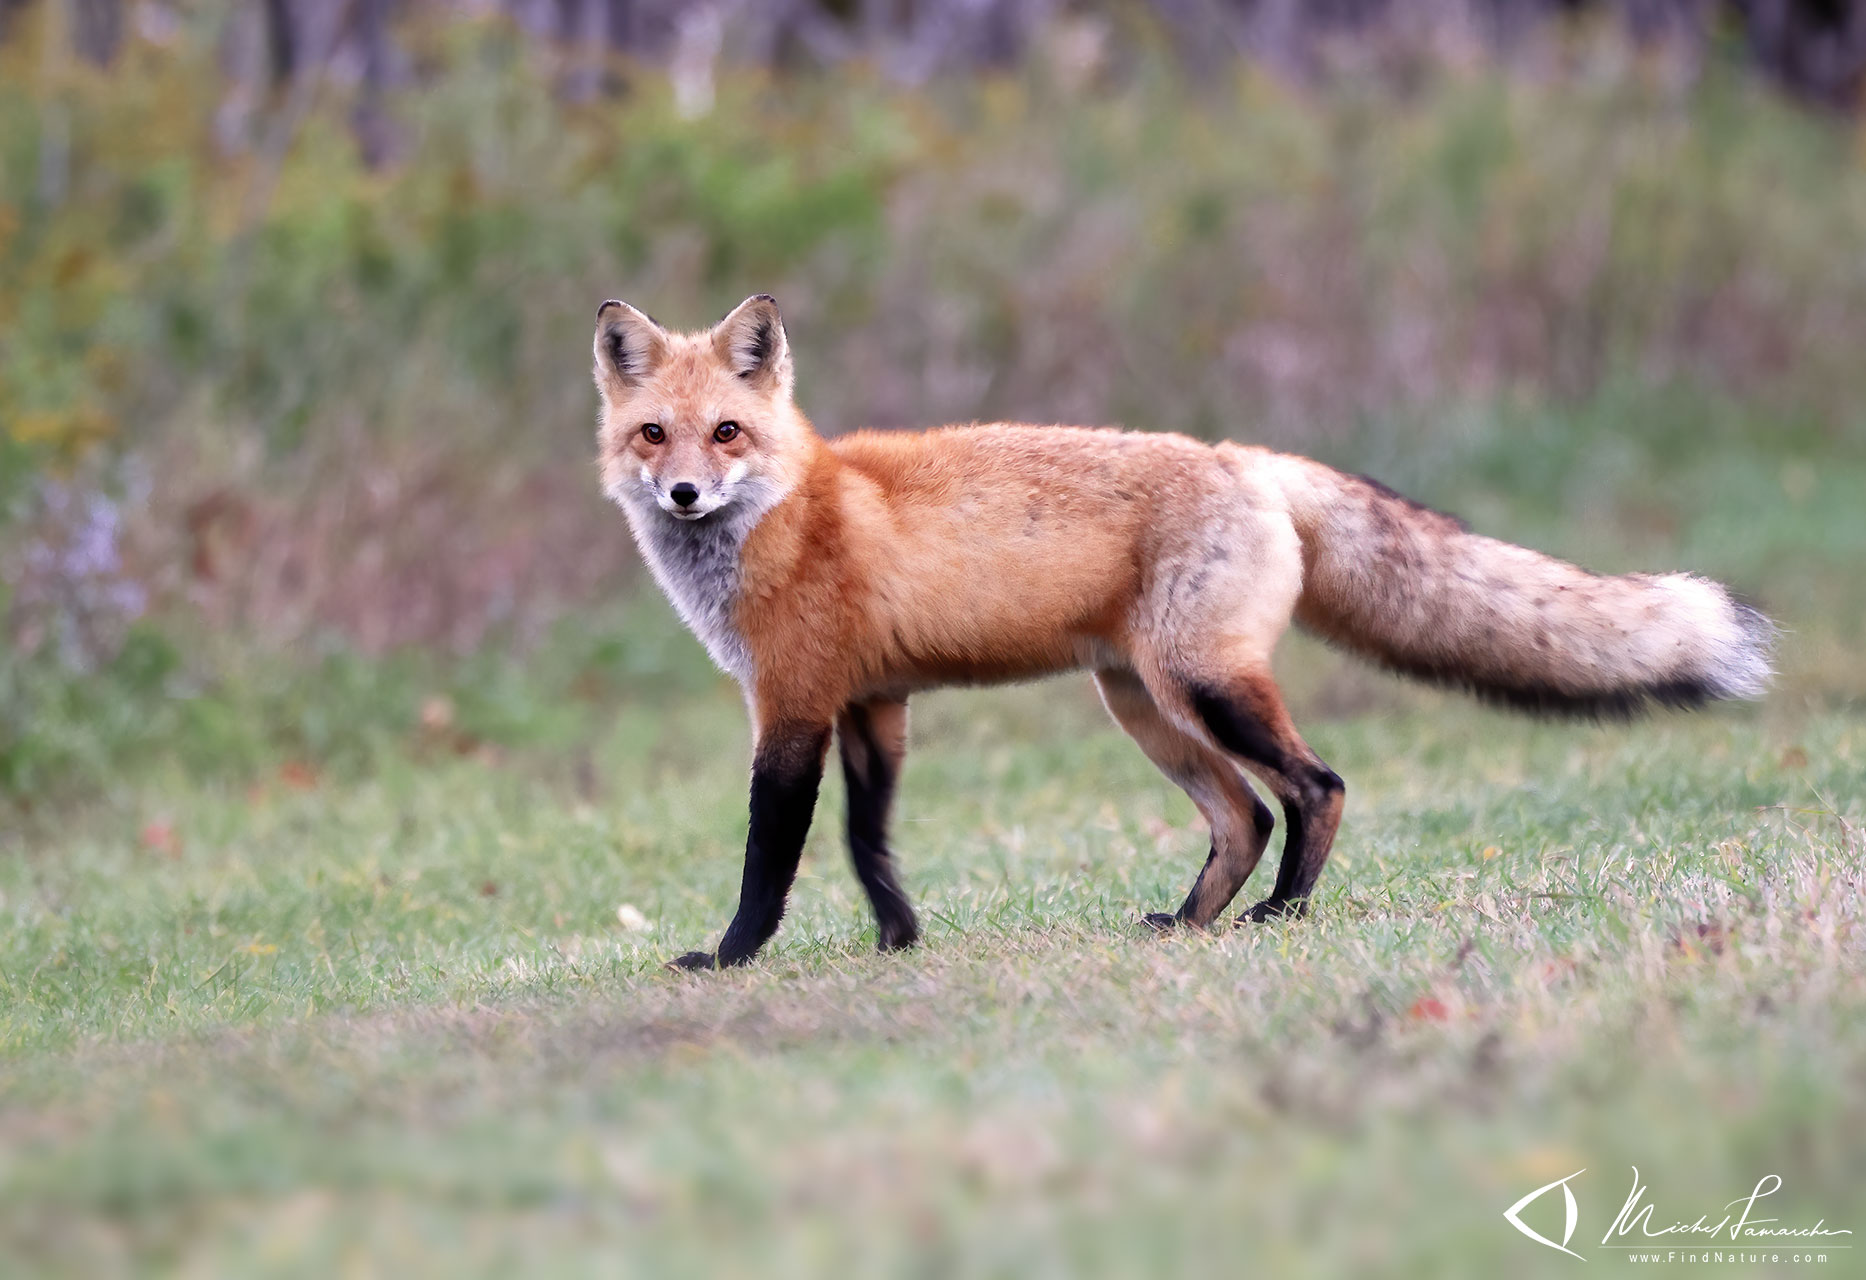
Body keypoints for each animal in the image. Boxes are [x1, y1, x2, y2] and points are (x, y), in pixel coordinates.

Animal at [592, 293, 1775, 971]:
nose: (686, 493)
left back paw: (1282, 918)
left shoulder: (791, 705)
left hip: (1200, 685)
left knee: (1314, 788)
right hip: (1142, 705)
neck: (788, 510)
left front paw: (729, 957)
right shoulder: (874, 702)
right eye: (654, 434)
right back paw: (1188, 922)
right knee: (1243, 817)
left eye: (726, 432)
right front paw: (898, 939)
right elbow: (866, 841)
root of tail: (1246, 457)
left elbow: (771, 859)